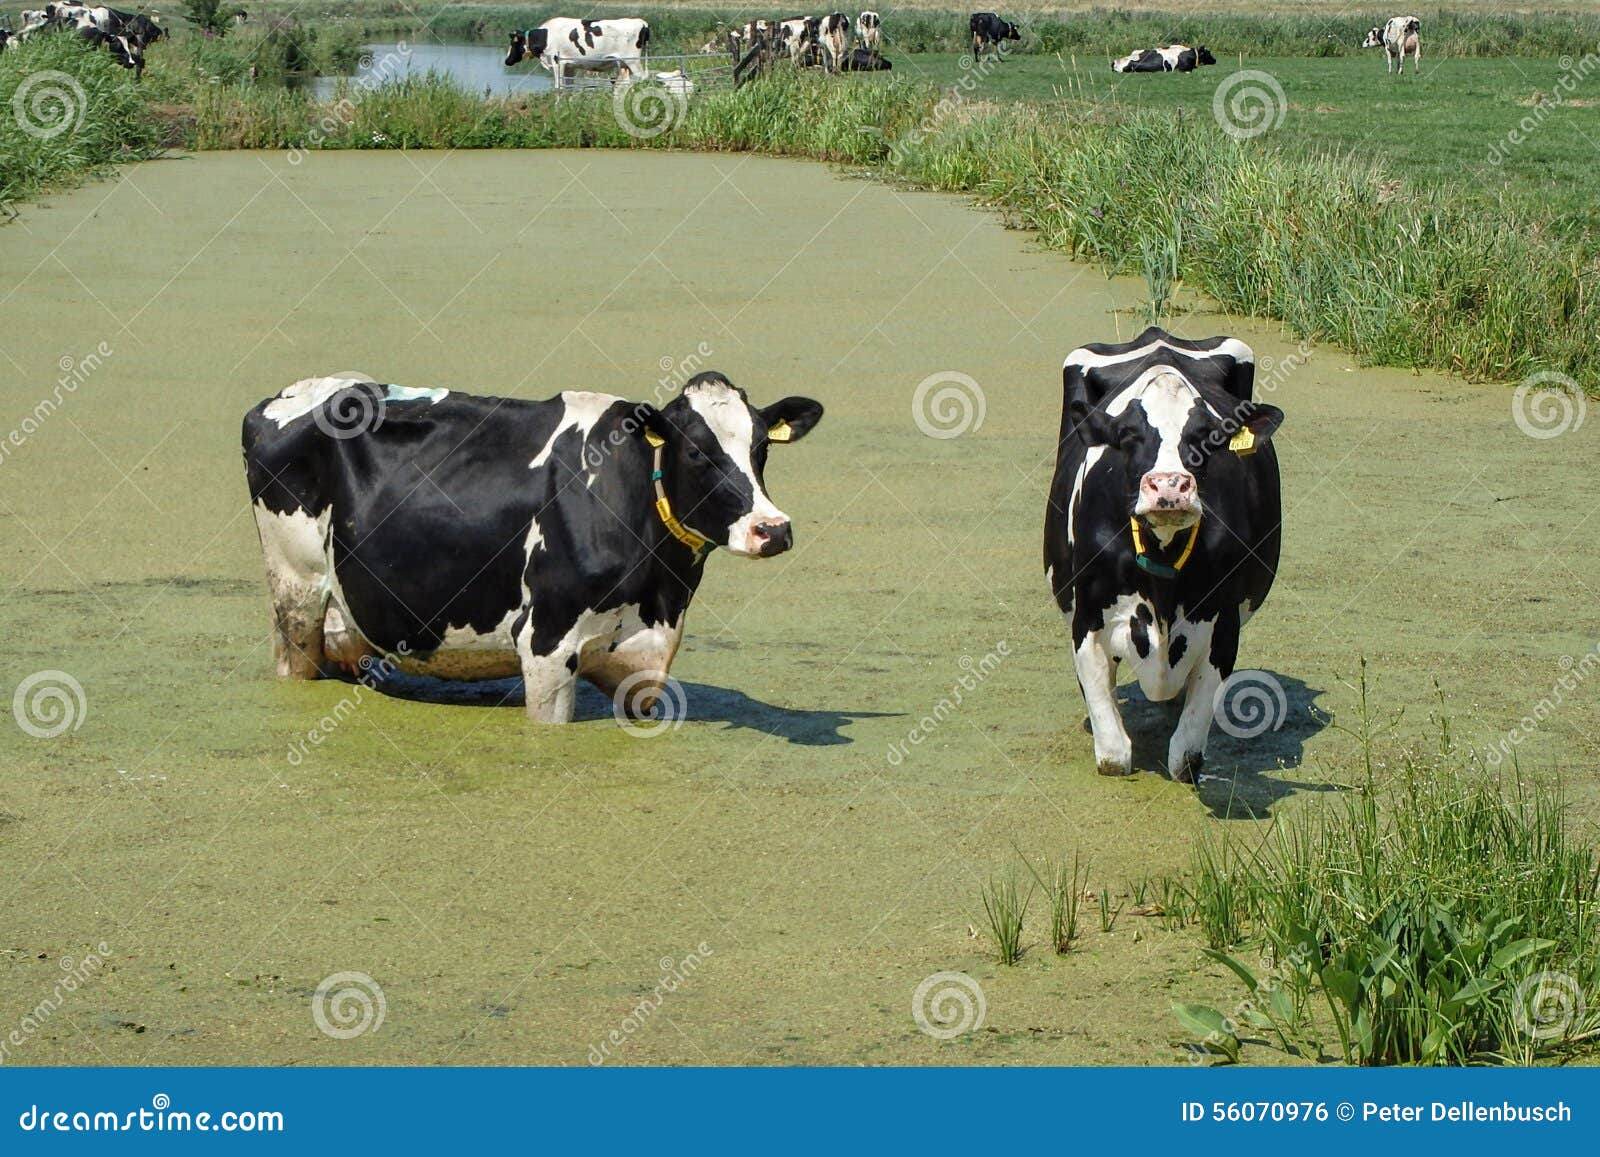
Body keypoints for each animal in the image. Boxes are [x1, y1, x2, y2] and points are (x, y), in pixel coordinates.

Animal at [242, 372, 824, 725]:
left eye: (761, 446)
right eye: (698, 451)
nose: (773, 528)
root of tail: (288, 395)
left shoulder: (646, 659)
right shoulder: (547, 644)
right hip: (296, 592)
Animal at [505, 17, 651, 86]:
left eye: (513, 43)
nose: (507, 60)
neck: (545, 36)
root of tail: (642, 22)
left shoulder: (557, 62)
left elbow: (558, 86)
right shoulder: (569, 66)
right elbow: (568, 86)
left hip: (633, 61)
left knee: (643, 78)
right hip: (625, 65)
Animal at [1045, 328, 1284, 782]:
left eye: (1210, 436)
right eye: (1128, 436)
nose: (1170, 486)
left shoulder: (1223, 622)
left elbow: (1186, 758)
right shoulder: (1087, 619)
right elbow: (1113, 756)